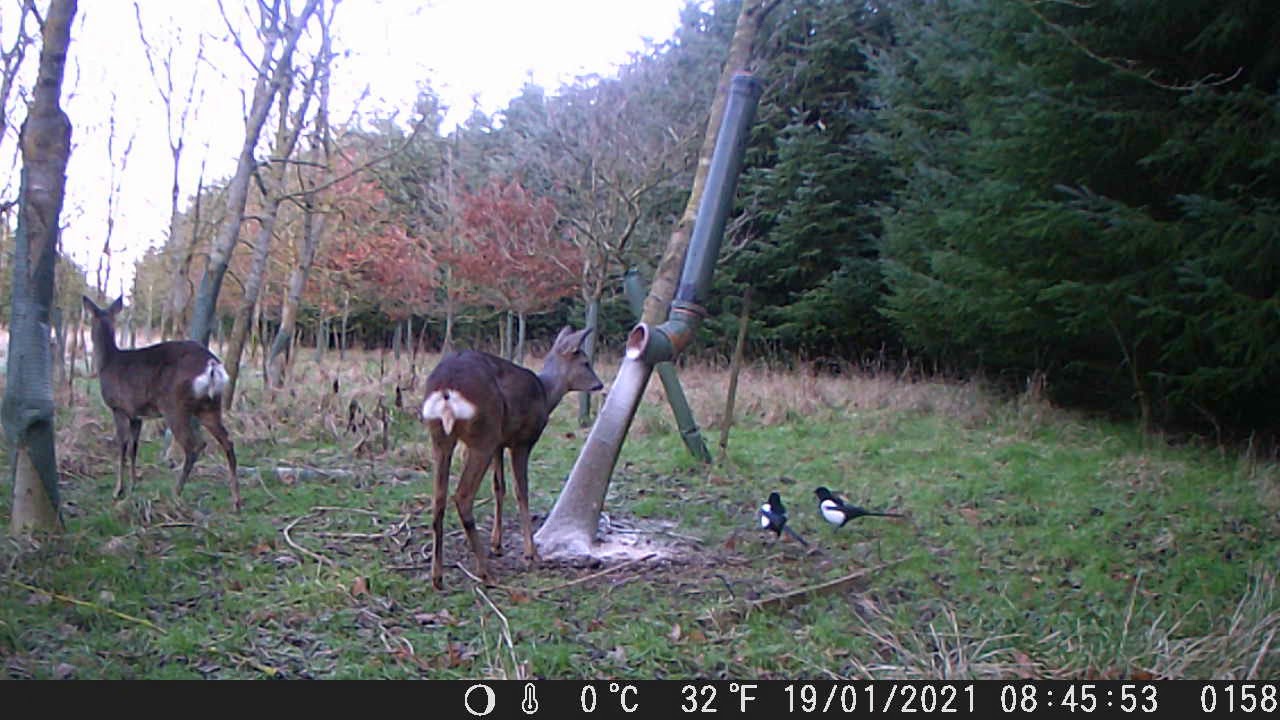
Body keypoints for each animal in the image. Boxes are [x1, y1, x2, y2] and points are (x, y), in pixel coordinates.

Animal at [82, 296, 240, 512]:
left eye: (90, 319)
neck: (107, 364)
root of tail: (212, 366)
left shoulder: (119, 408)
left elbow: (122, 446)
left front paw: (118, 490)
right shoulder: (137, 415)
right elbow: (134, 448)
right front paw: (133, 485)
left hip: (174, 405)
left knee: (195, 445)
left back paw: (176, 493)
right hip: (210, 406)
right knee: (227, 441)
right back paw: (236, 501)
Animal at [421, 326, 603, 590]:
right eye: (586, 362)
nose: (599, 384)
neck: (545, 393)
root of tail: (446, 388)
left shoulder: (500, 443)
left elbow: (499, 487)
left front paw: (497, 543)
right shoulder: (522, 441)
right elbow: (521, 490)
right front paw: (531, 552)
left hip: (441, 436)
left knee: (438, 498)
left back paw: (437, 576)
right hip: (483, 435)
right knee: (462, 495)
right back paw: (485, 573)